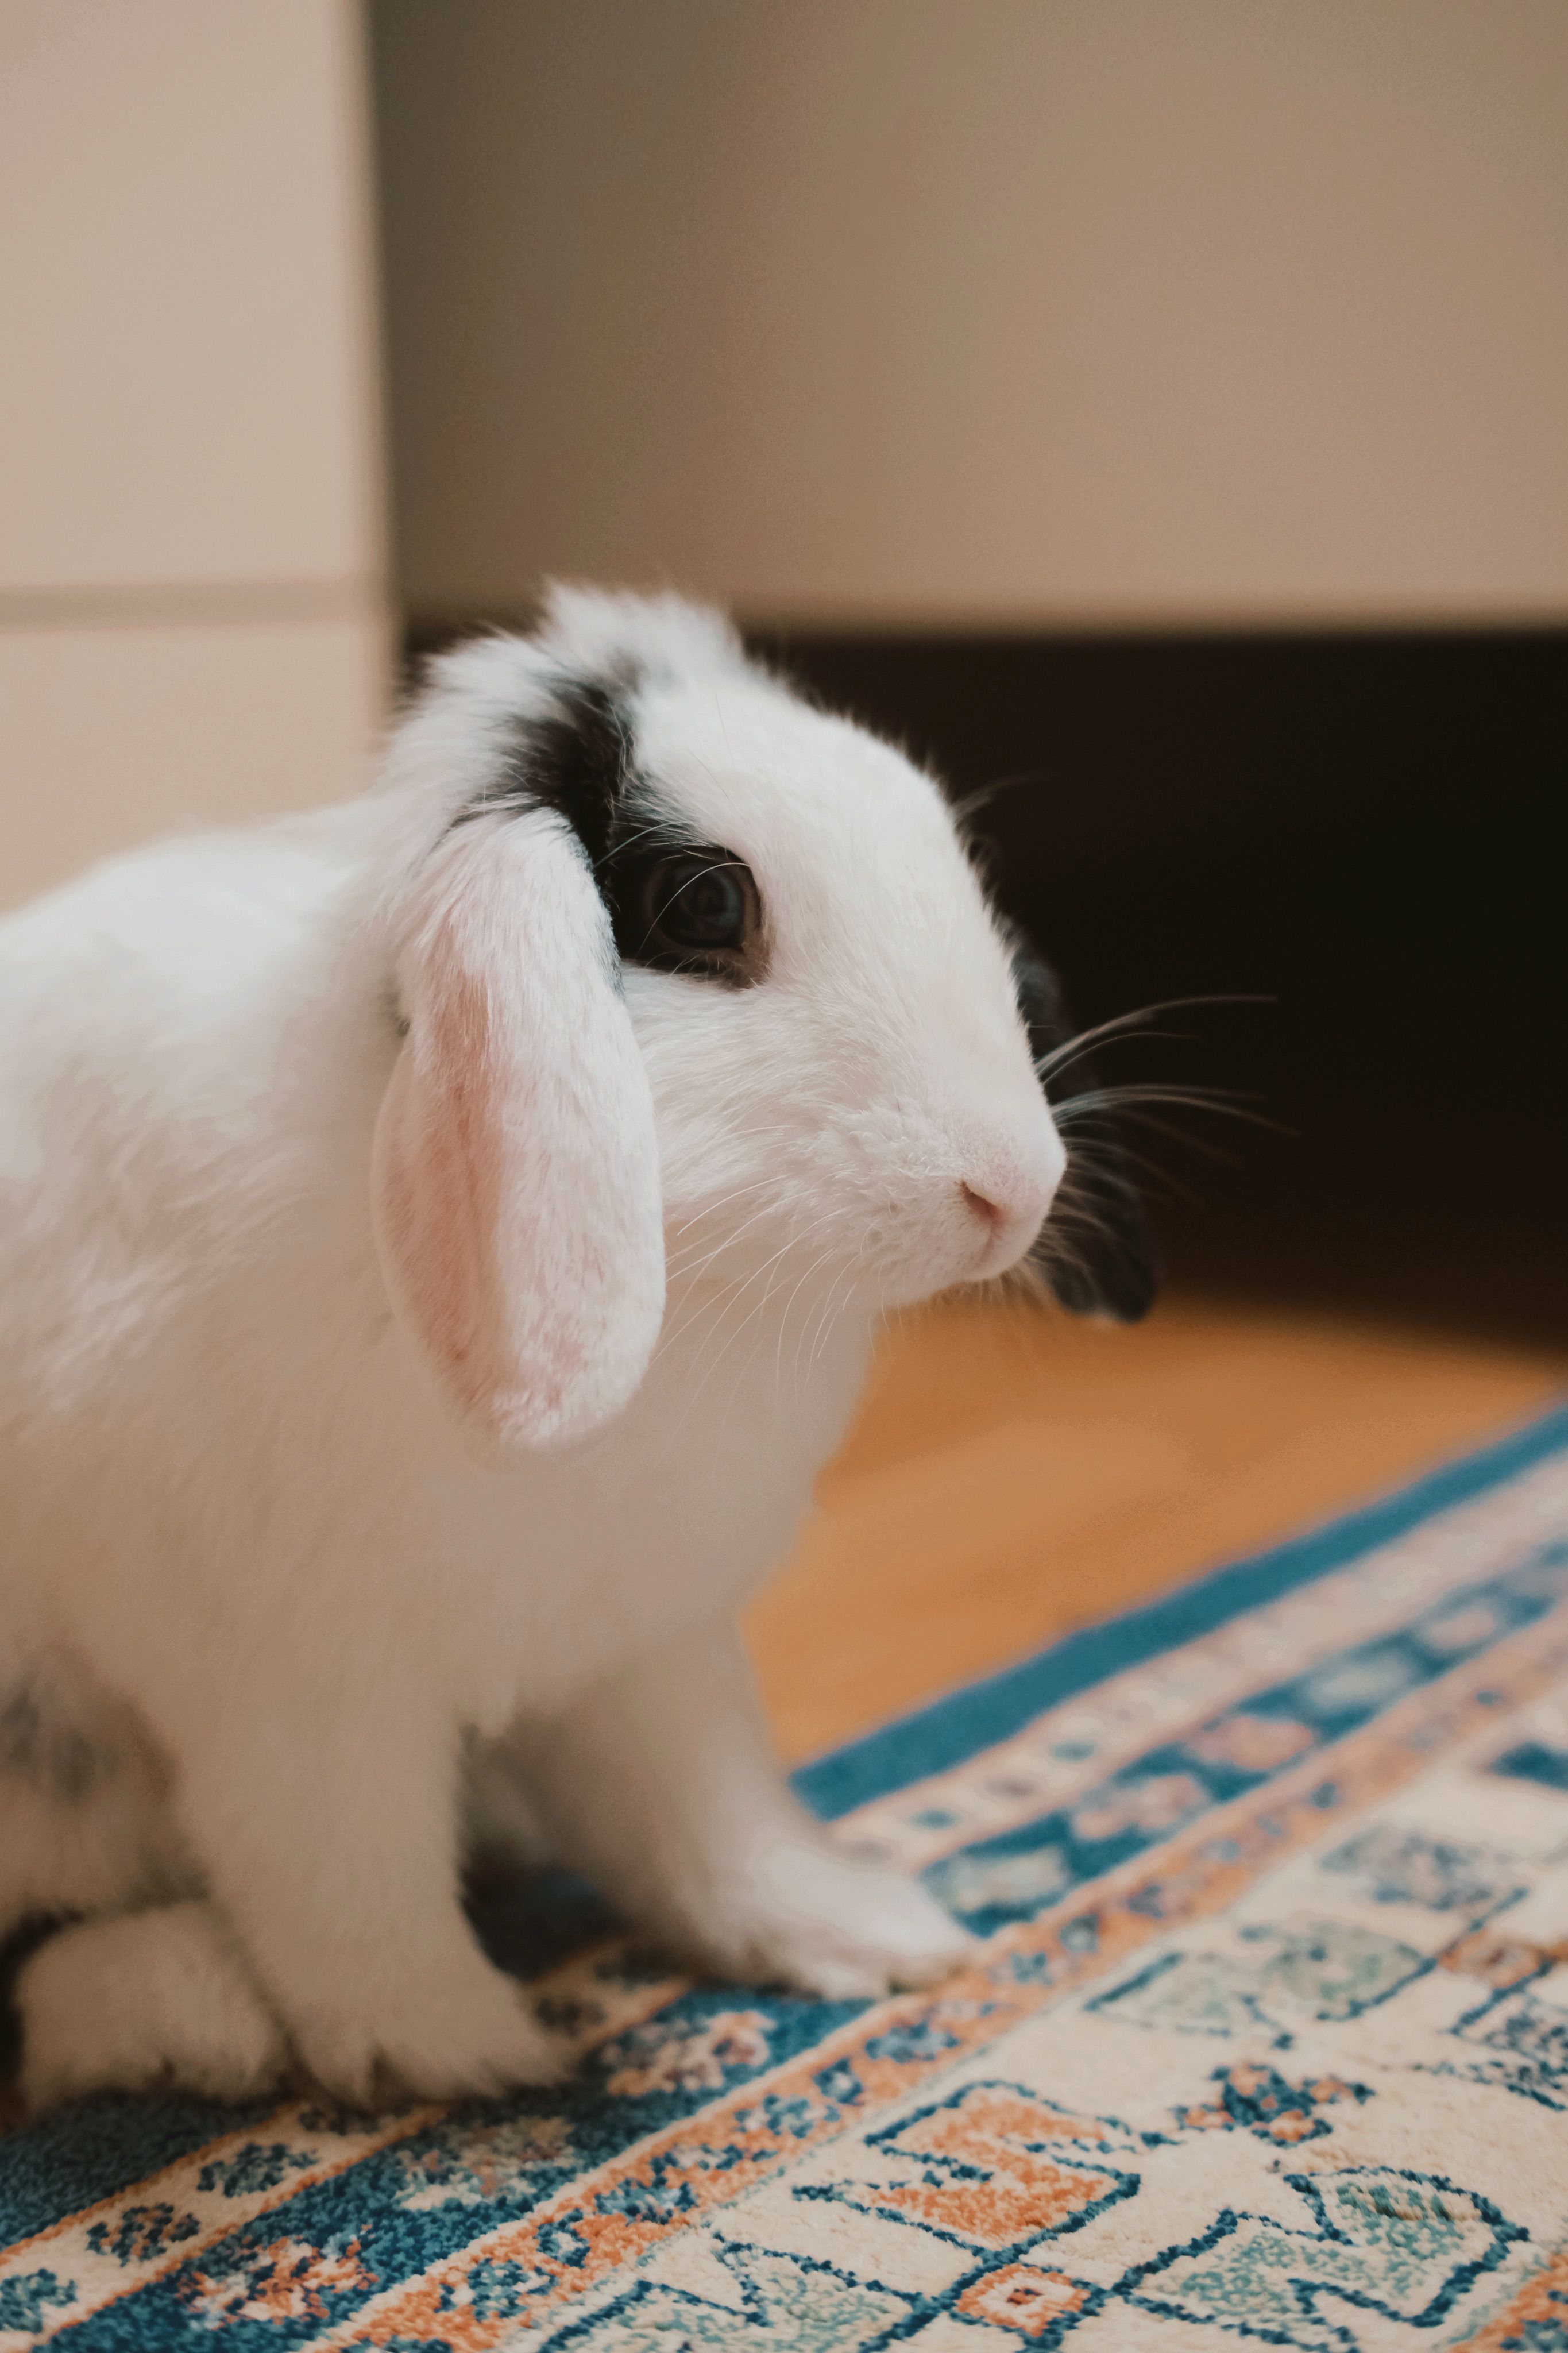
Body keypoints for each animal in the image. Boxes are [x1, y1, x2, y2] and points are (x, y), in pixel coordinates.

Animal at [0, 588, 1156, 2109]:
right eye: (706, 901)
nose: (1010, 1187)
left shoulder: (646, 1650)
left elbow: (704, 1814)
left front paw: (874, 1938)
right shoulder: (296, 1691)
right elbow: (344, 1887)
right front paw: (468, 2058)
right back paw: (204, 2013)